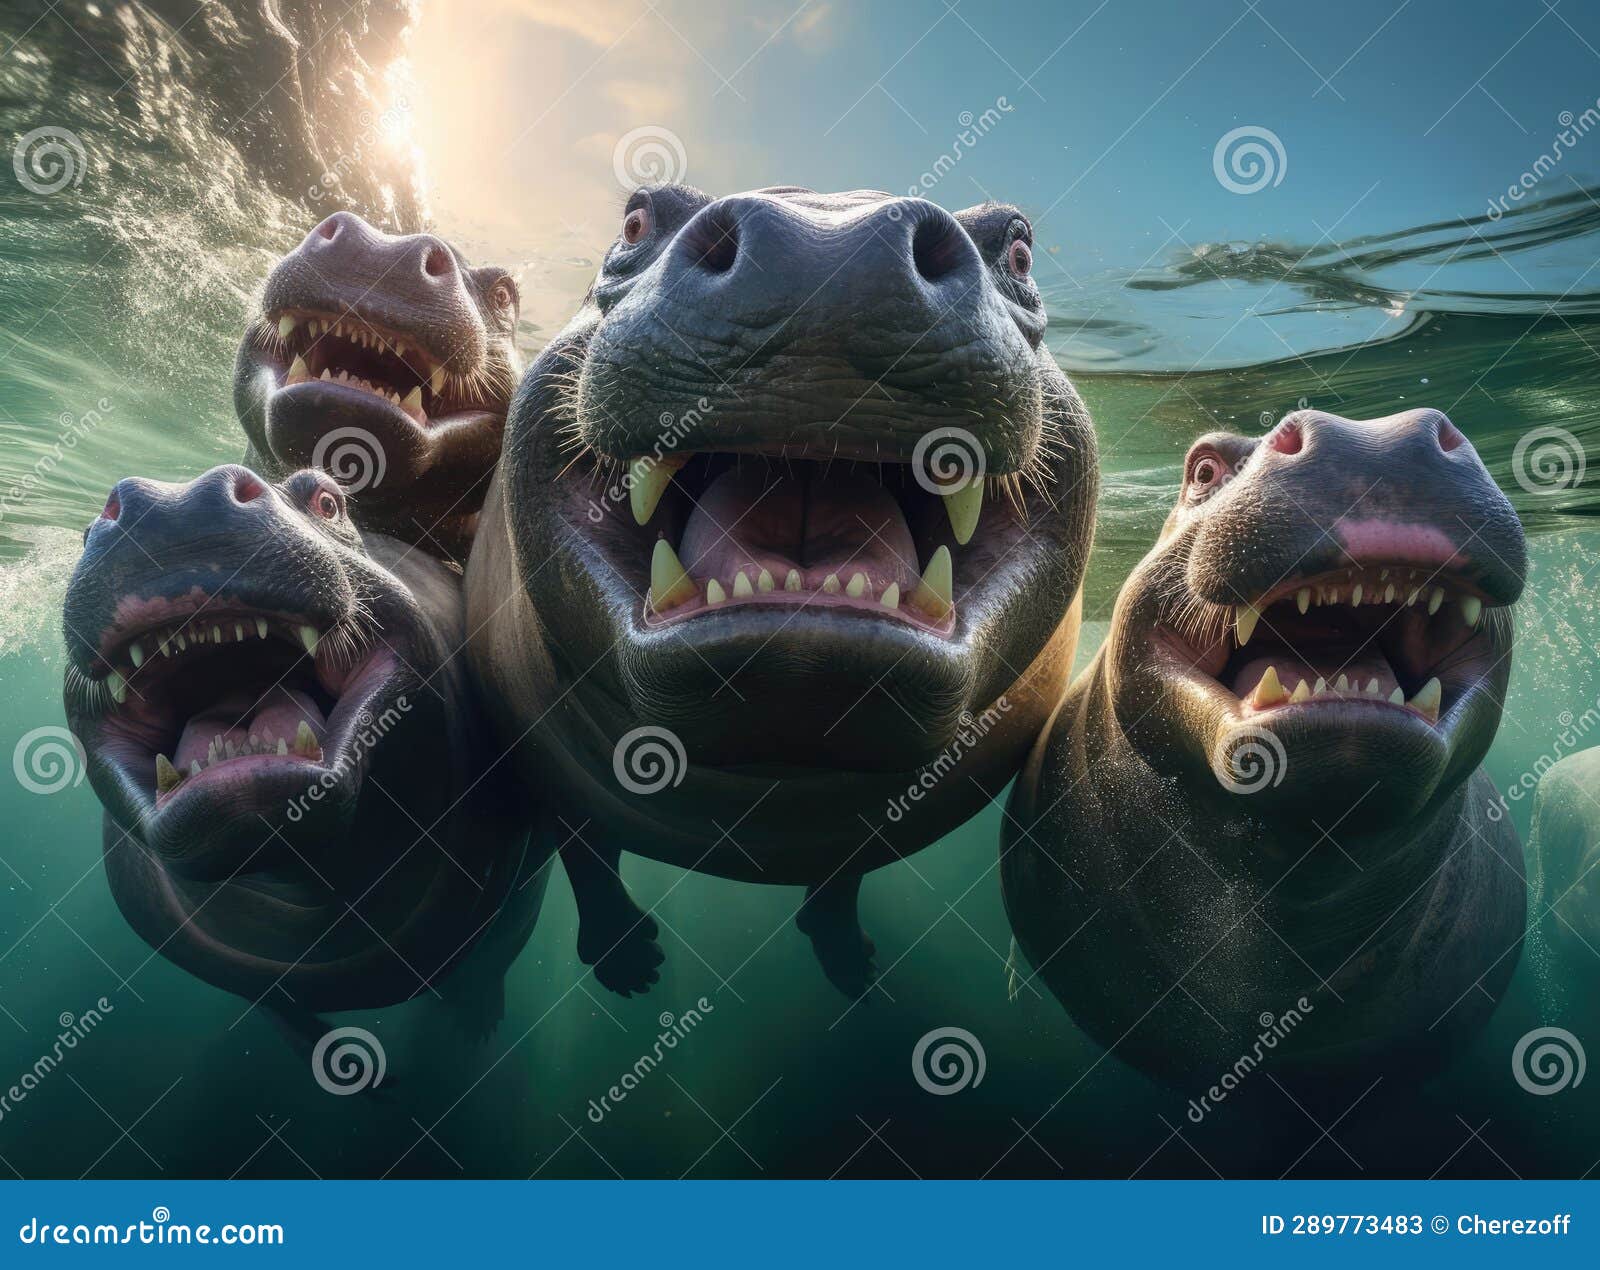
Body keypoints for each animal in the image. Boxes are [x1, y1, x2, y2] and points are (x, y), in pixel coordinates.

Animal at [467, 184, 1098, 996]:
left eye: (1019, 251)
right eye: (636, 219)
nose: (826, 254)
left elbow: (842, 876)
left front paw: (853, 964)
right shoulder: (549, 777)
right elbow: (587, 857)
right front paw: (630, 963)